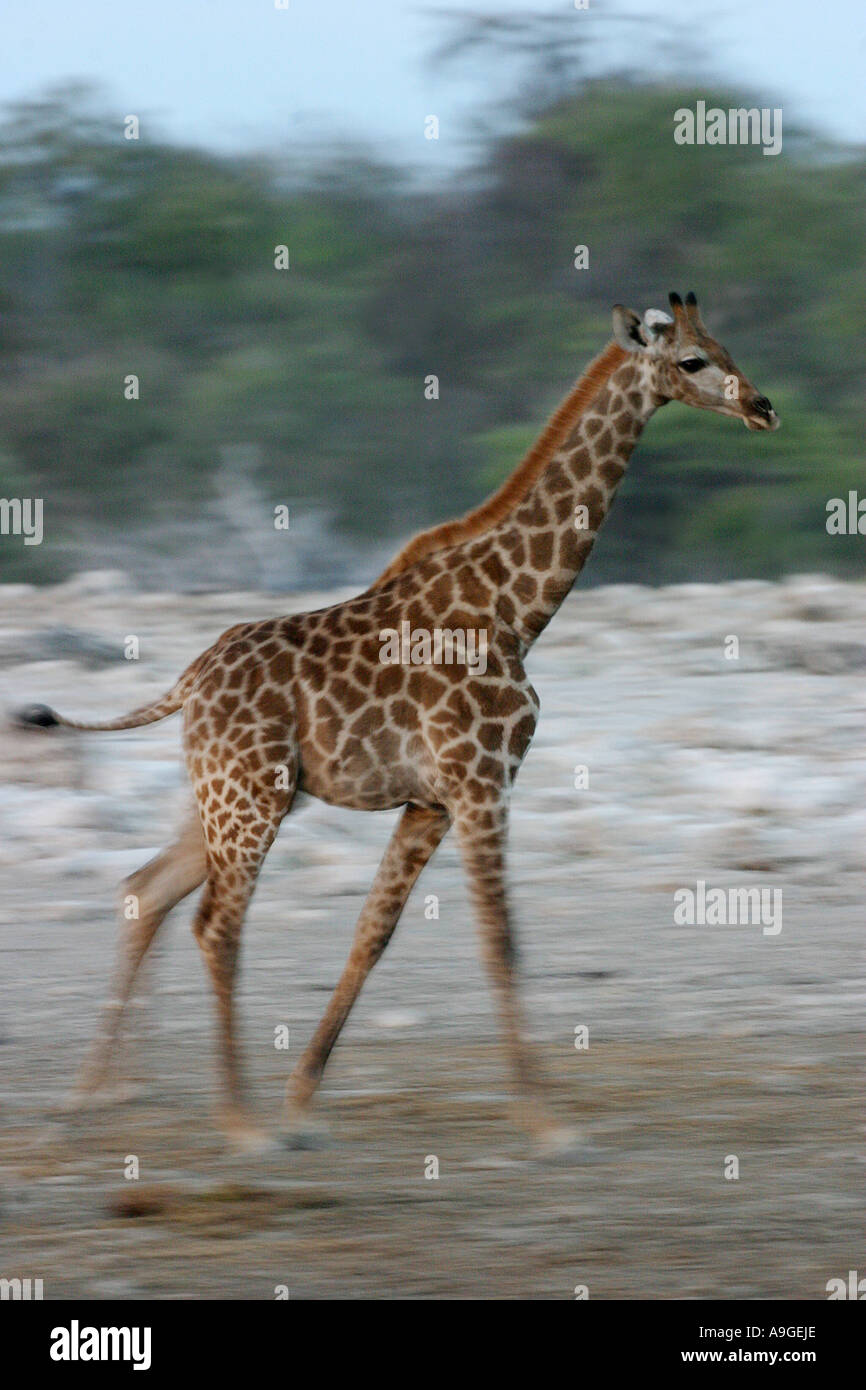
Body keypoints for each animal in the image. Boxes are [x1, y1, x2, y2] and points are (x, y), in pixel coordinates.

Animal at [14, 292, 778, 1152]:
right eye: (691, 361)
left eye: (726, 347)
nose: (763, 406)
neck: (516, 609)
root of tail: (188, 681)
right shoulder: (480, 783)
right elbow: (501, 940)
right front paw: (548, 1120)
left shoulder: (430, 800)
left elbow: (372, 934)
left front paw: (302, 1096)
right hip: (250, 799)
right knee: (214, 925)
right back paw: (237, 1124)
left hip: (228, 797)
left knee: (146, 890)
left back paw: (94, 1096)